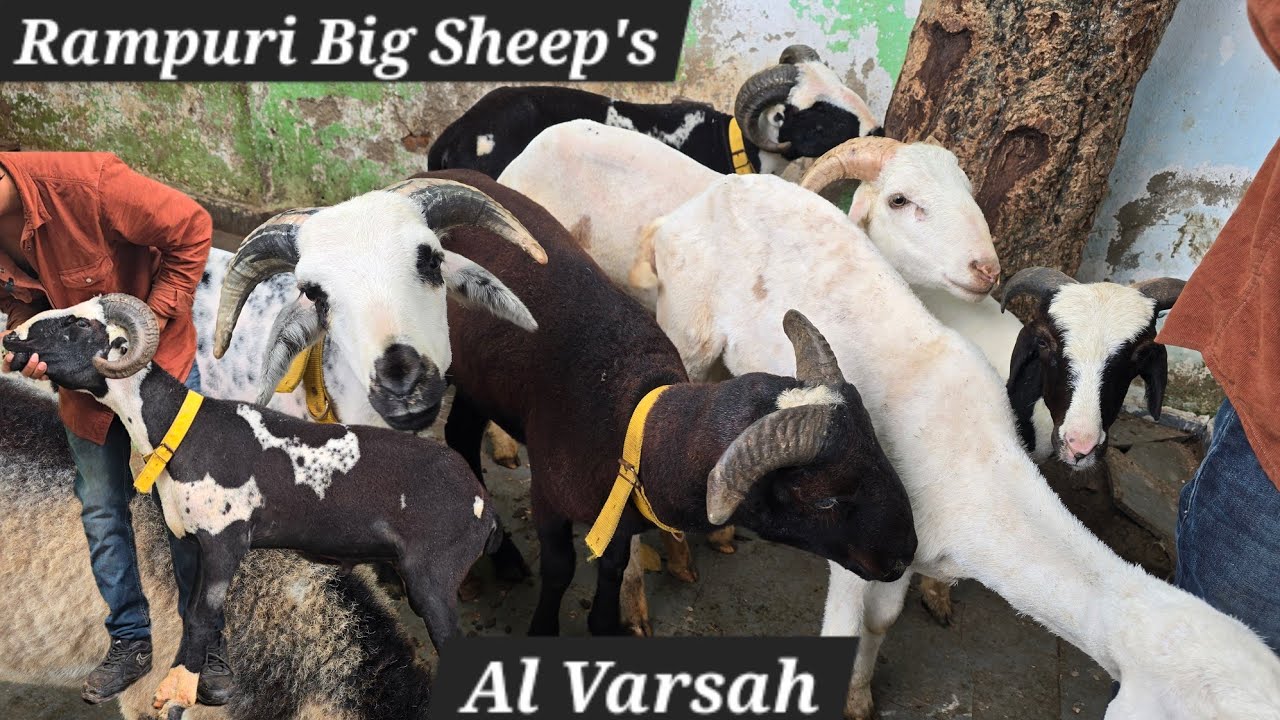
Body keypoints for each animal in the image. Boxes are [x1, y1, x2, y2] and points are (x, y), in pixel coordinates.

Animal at [218, 168, 917, 637]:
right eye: (821, 497)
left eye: (879, 452)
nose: (903, 556)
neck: (632, 412)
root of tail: (425, 173)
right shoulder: (553, 499)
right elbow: (560, 567)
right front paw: (544, 627)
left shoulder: (626, 511)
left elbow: (610, 566)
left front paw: (606, 623)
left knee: (463, 433)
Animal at [620, 164, 1280, 719]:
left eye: (1135, 361)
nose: (1083, 444)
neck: (979, 471)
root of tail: (704, 198)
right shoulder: (849, 541)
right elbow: (844, 628)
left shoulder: (902, 554)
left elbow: (881, 624)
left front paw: (861, 697)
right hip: (686, 328)